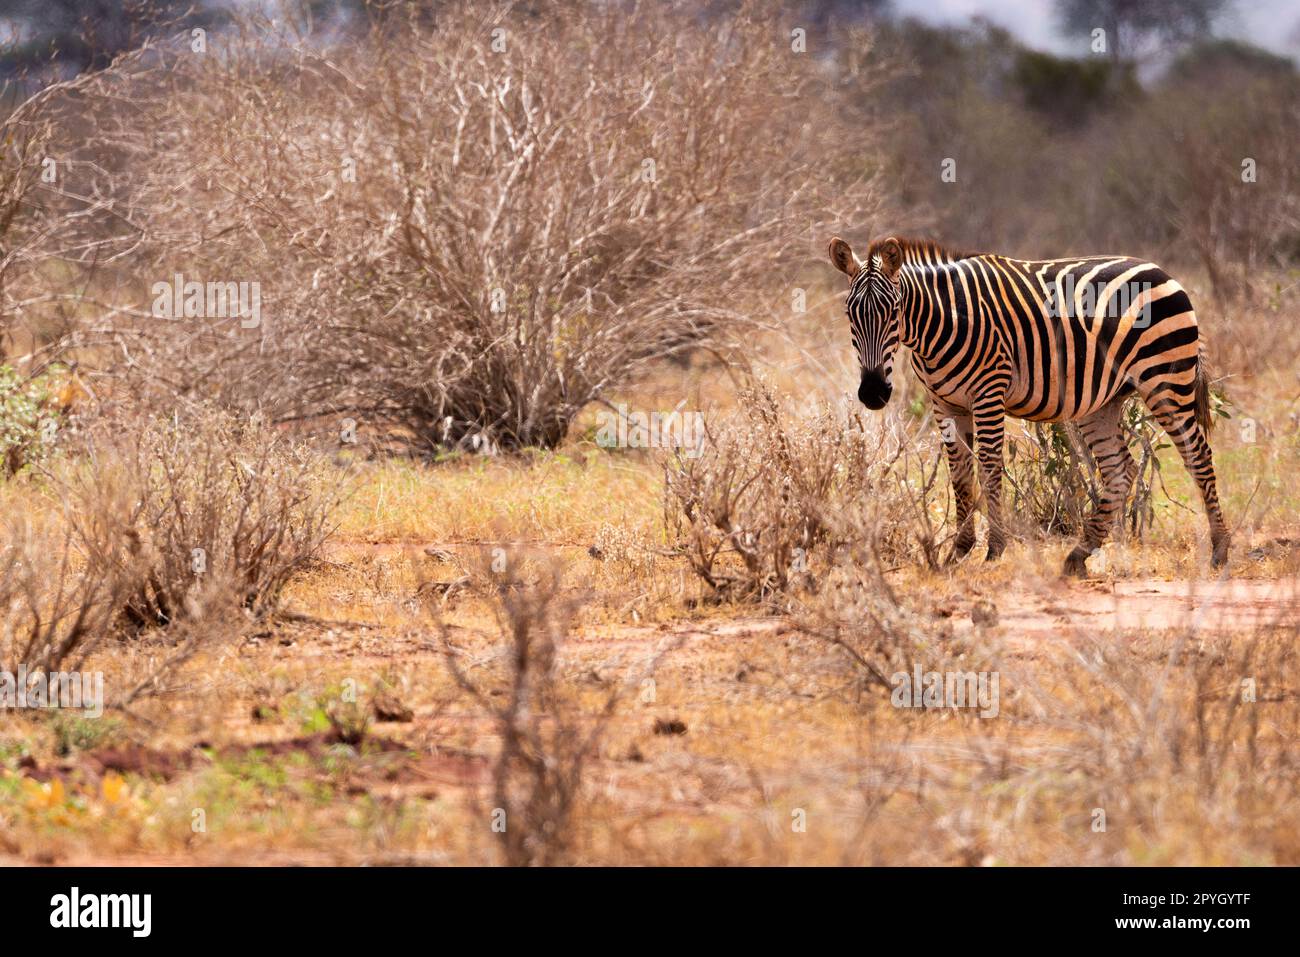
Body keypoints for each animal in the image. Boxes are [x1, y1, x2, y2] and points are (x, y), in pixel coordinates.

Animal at [828, 234, 1229, 576]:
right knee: (1121, 469)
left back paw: (1220, 551)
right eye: (850, 314)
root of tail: (1164, 272)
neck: (941, 323)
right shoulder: (945, 404)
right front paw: (958, 551)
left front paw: (994, 550)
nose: (873, 393)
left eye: (893, 310)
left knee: (1198, 456)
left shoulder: (988, 394)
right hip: (1104, 403)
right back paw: (1079, 555)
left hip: (1165, 381)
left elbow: (989, 469)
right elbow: (959, 475)